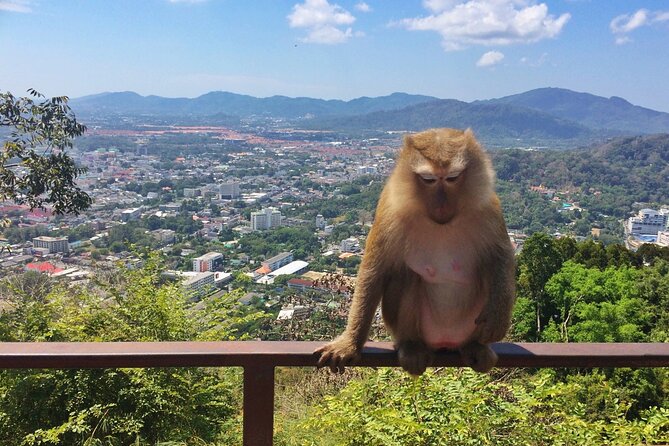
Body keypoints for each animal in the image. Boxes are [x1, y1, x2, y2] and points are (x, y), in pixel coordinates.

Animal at [315, 128, 515, 376]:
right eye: (428, 180)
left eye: (452, 177)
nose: (441, 204)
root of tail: (445, 342)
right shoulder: (389, 208)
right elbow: (374, 272)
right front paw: (349, 344)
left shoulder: (488, 206)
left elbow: (500, 256)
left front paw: (498, 317)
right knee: (406, 277)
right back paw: (411, 347)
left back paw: (475, 346)